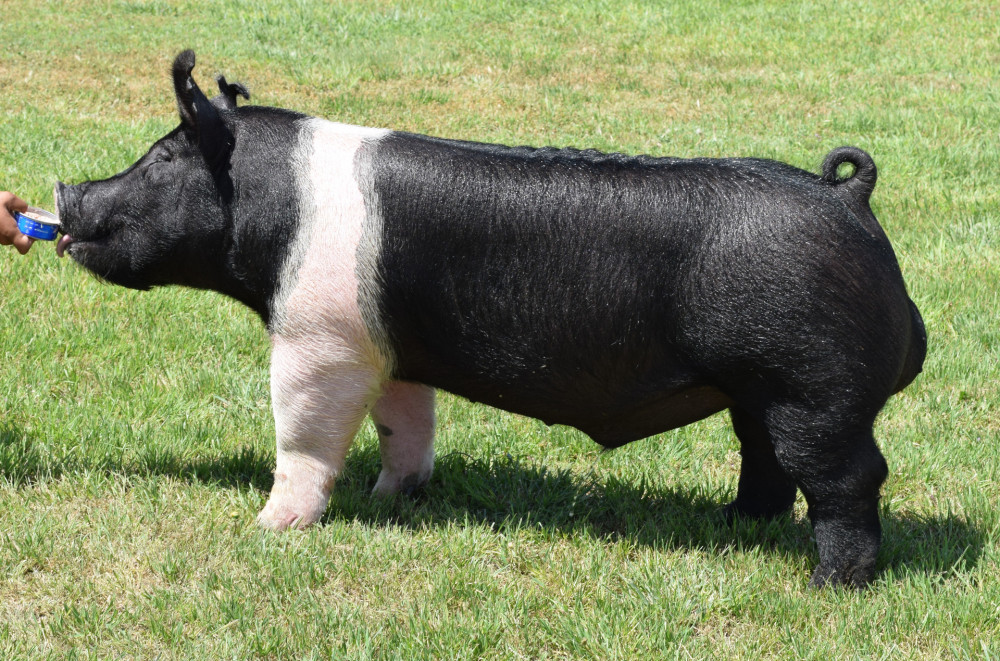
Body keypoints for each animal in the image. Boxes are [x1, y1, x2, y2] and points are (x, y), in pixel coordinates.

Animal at [55, 50, 926, 588]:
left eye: (164, 158)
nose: (66, 191)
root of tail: (850, 198)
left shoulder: (320, 335)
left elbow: (302, 434)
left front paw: (269, 527)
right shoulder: (388, 346)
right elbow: (406, 423)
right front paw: (392, 499)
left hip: (813, 386)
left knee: (847, 475)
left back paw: (826, 583)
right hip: (761, 388)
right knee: (765, 460)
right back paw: (734, 523)